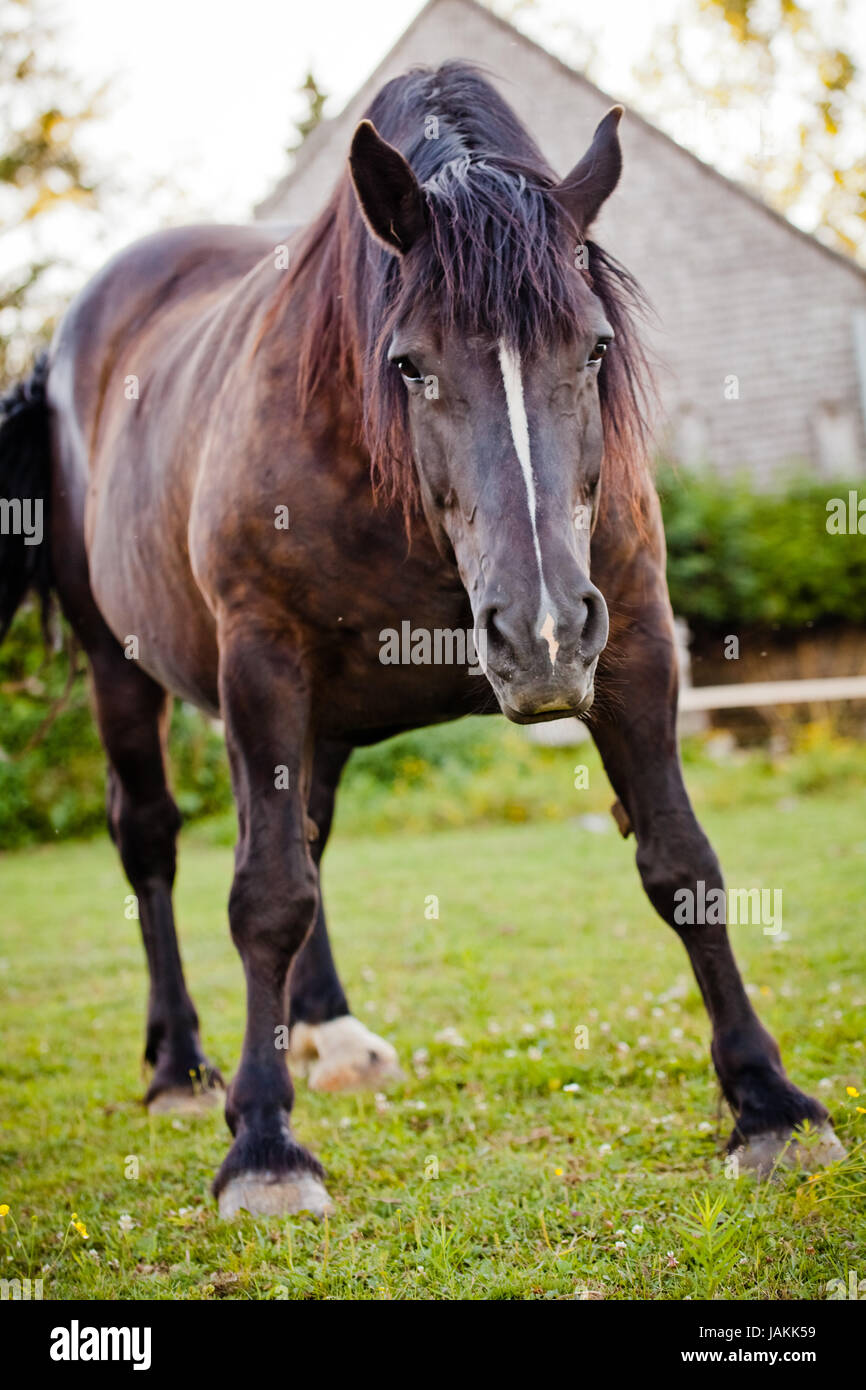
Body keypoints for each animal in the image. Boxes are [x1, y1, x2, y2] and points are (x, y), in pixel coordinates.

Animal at [0, 62, 843, 1216]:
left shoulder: (630, 642)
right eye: (407, 364)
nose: (539, 632)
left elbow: (683, 864)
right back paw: (180, 1066)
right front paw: (263, 1146)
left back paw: (324, 1032)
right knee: (154, 839)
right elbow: (265, 896)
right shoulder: (261, 659)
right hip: (121, 667)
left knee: (302, 829)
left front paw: (768, 1104)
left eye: (594, 347)